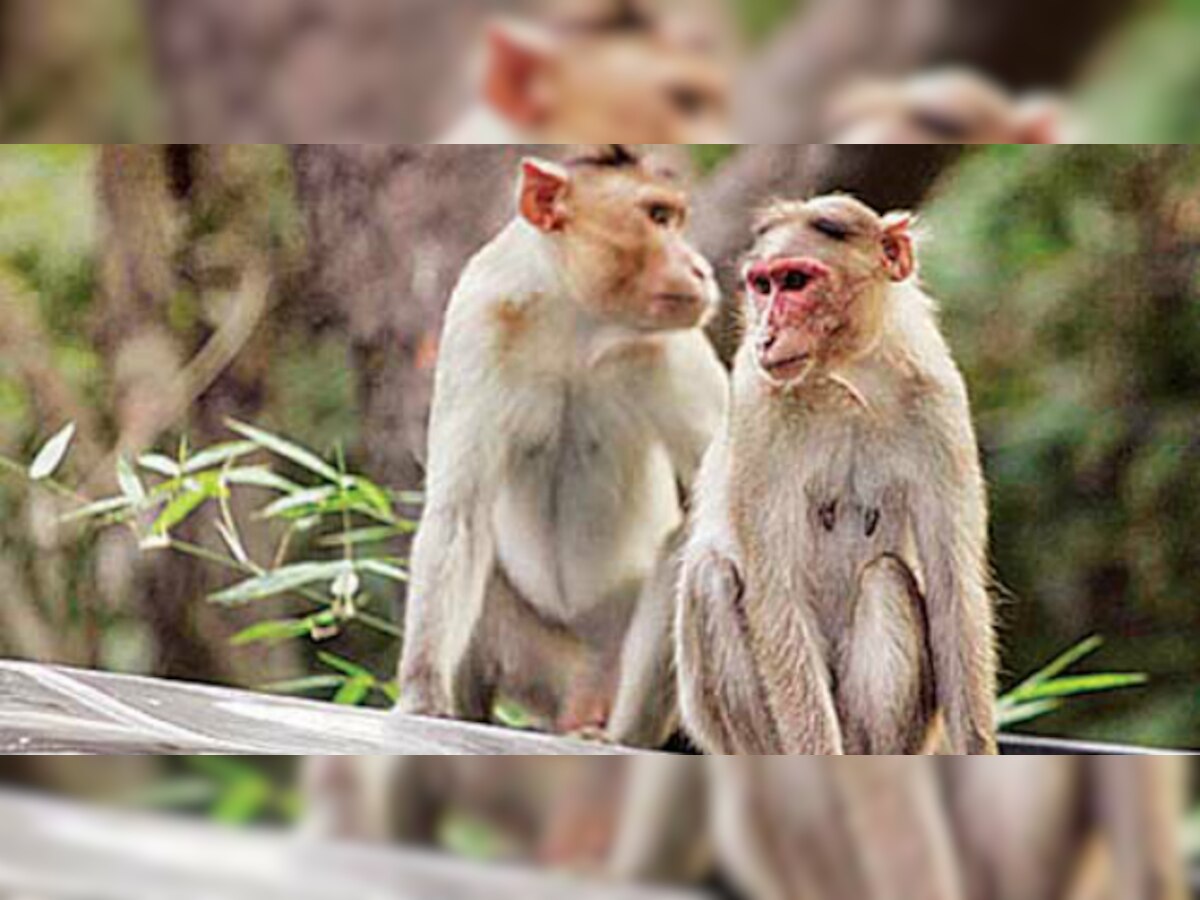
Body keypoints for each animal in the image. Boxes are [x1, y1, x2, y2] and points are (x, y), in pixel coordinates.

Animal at [396, 145, 727, 749]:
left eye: (674, 217)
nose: (701, 268)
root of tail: (586, 695)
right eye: (657, 217)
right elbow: (459, 515)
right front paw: (421, 695)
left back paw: (618, 737)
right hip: (547, 670)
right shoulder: (477, 324)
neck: (579, 320)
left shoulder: (673, 349)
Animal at [677, 193, 997, 756]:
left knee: (886, 577)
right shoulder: (757, 402)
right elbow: (775, 596)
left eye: (795, 281)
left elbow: (953, 592)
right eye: (762, 285)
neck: (850, 385)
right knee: (710, 576)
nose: (766, 336)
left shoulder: (939, 401)